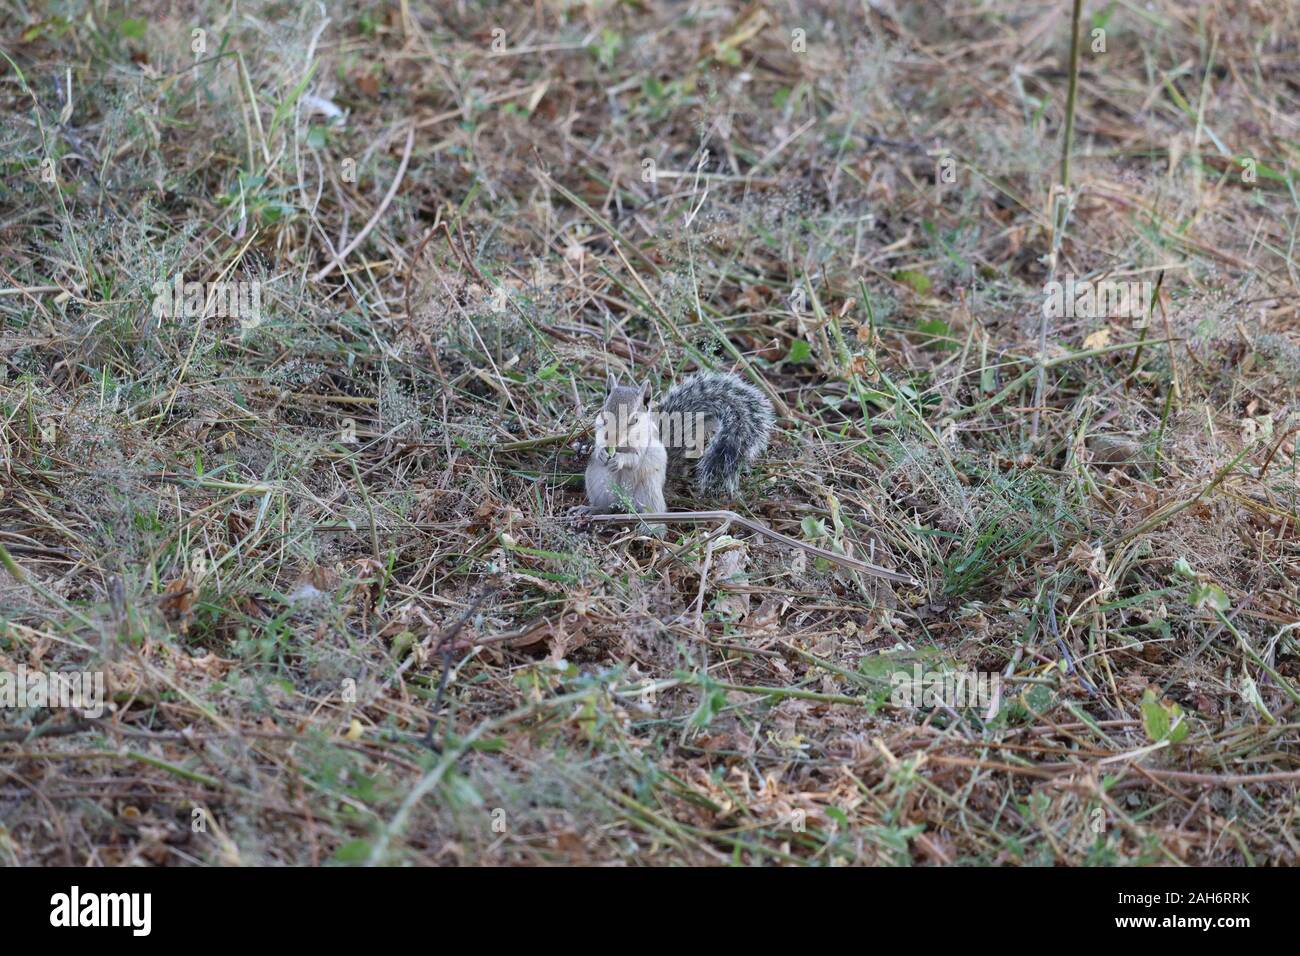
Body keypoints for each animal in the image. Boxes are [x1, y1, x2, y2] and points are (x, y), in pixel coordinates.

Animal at [584, 371, 774, 515]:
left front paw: (619, 460)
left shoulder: (645, 444)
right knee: (606, 507)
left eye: (634, 420)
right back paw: (592, 510)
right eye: (603, 413)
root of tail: (622, 503)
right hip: (597, 485)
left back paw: (654, 527)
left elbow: (635, 459)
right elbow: (597, 446)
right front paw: (601, 453)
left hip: (648, 490)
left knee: (655, 510)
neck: (622, 445)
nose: (611, 439)